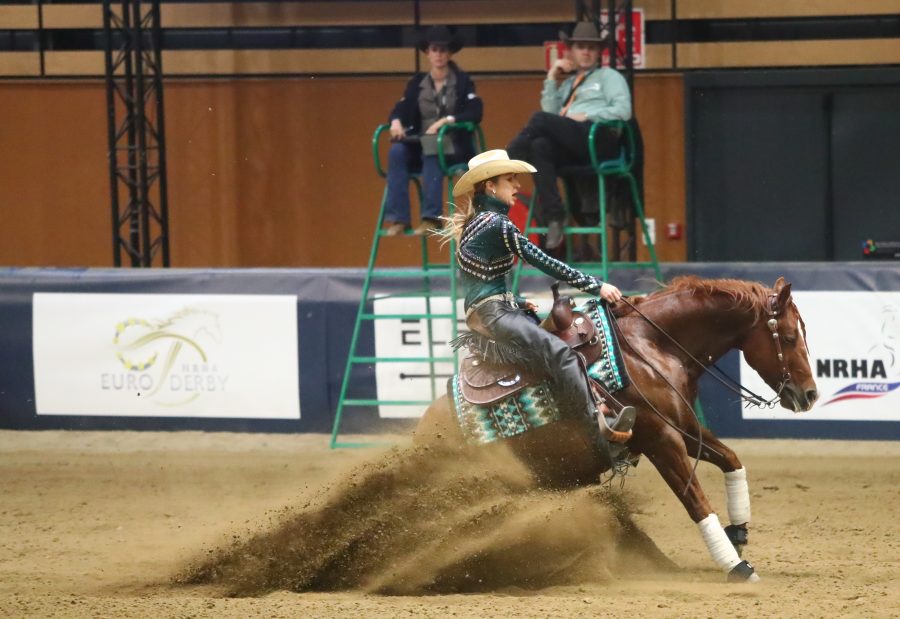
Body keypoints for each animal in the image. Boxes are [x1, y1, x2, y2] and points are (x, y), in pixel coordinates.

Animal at [413, 276, 818, 583]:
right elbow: (696, 502)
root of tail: (422, 437)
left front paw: (739, 531)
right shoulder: (661, 441)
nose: (810, 394)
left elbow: (732, 461)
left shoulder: (685, 429)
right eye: (788, 337)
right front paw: (737, 566)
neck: (649, 347)